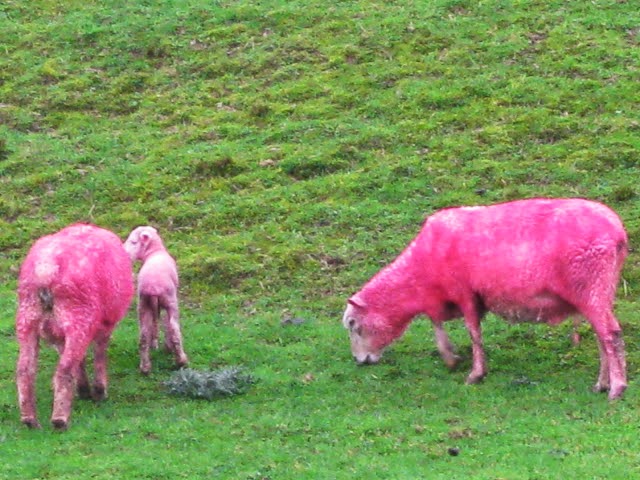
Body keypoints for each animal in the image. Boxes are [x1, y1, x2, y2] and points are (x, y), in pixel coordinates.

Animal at [16, 224, 134, 429]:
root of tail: (46, 269)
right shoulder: (106, 323)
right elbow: (99, 354)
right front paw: (99, 391)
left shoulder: (58, 336)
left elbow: (79, 358)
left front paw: (84, 389)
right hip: (78, 318)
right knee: (64, 369)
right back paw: (60, 420)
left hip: (28, 317)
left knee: (25, 369)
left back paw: (30, 420)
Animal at [124, 226, 188, 375]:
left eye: (133, 242)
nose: (124, 253)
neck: (155, 251)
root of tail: (152, 286)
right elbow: (166, 323)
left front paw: (155, 344)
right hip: (170, 301)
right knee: (174, 328)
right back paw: (181, 360)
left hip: (143, 303)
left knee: (143, 336)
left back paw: (145, 367)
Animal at [342, 198, 628, 399]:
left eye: (353, 325)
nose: (359, 361)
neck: (419, 274)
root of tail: (618, 232)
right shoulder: (445, 298)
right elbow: (437, 324)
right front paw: (450, 357)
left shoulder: (465, 293)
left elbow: (473, 333)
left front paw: (475, 374)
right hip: (600, 290)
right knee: (603, 337)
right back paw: (602, 385)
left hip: (591, 285)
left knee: (611, 334)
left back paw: (617, 388)